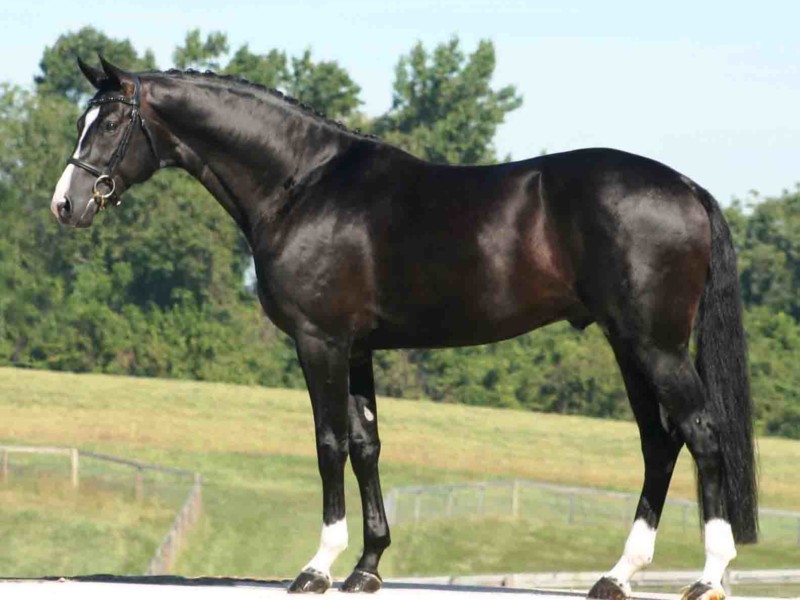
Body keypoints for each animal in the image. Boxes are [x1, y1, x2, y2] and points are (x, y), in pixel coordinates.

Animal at [50, 57, 757, 600]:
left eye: (108, 122)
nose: (66, 204)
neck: (301, 185)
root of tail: (689, 188)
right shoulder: (357, 347)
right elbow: (367, 445)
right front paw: (366, 567)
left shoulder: (320, 342)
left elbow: (330, 442)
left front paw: (317, 568)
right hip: (628, 345)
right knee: (659, 444)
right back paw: (617, 576)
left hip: (655, 346)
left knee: (700, 435)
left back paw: (707, 577)